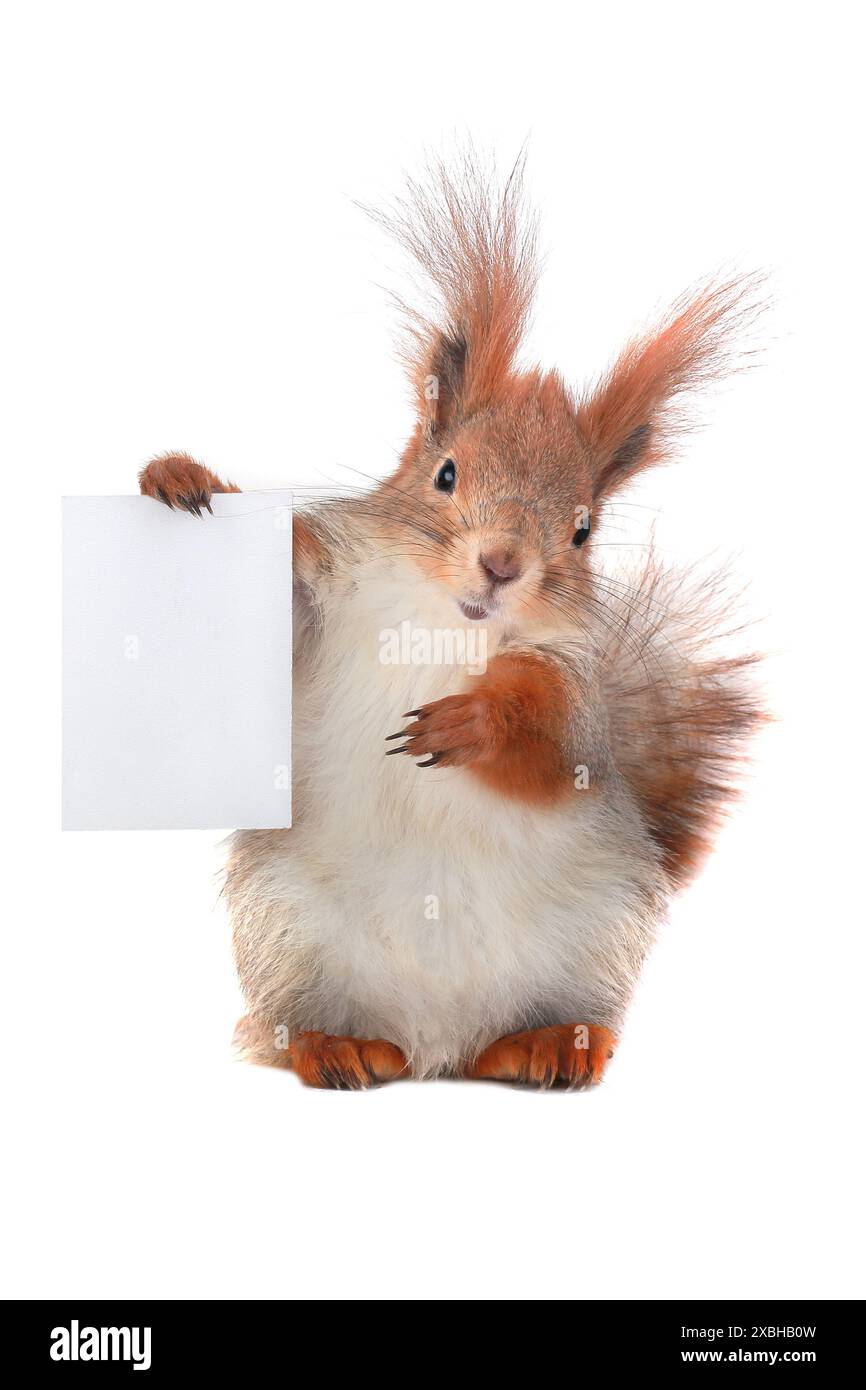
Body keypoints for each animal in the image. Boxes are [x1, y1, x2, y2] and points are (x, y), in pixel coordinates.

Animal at [139, 155, 765, 1089]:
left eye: (584, 528)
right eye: (444, 473)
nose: (502, 563)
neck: (441, 621)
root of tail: (437, 1044)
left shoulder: (575, 692)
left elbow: (553, 743)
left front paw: (473, 721)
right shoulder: (322, 611)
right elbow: (284, 590)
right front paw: (183, 475)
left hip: (593, 940)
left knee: (532, 1026)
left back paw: (549, 1043)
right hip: (288, 939)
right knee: (296, 1030)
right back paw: (338, 1046)